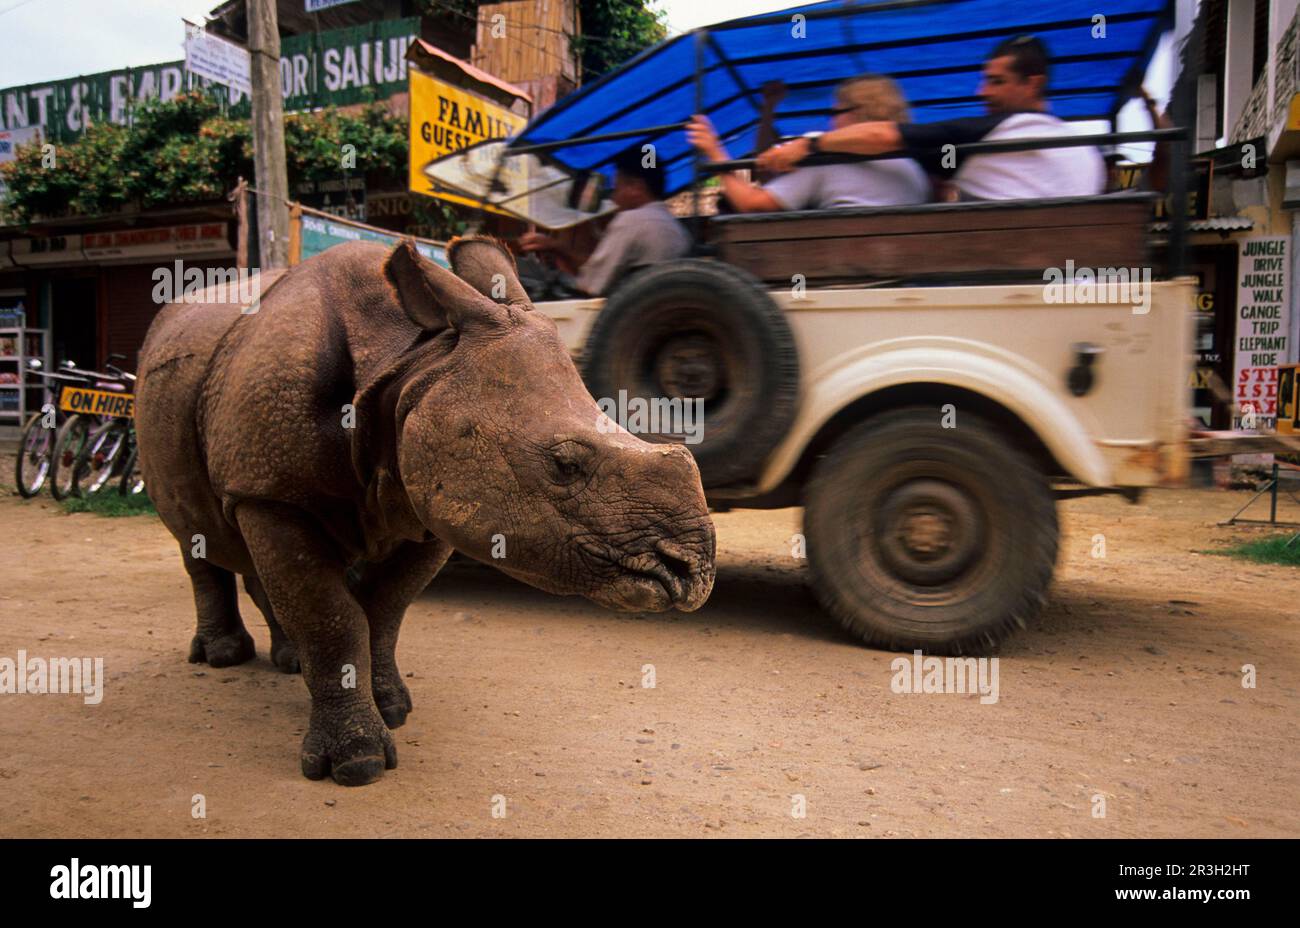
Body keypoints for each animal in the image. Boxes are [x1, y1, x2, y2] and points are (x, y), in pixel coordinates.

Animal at [135, 237, 715, 786]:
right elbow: (331, 616)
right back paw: (223, 656)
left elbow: (382, 608)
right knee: (195, 539)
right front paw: (356, 764)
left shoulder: (432, 503)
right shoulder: (271, 490)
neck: (412, 362)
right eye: (565, 464)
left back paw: (289, 661)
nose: (693, 575)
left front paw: (391, 707)